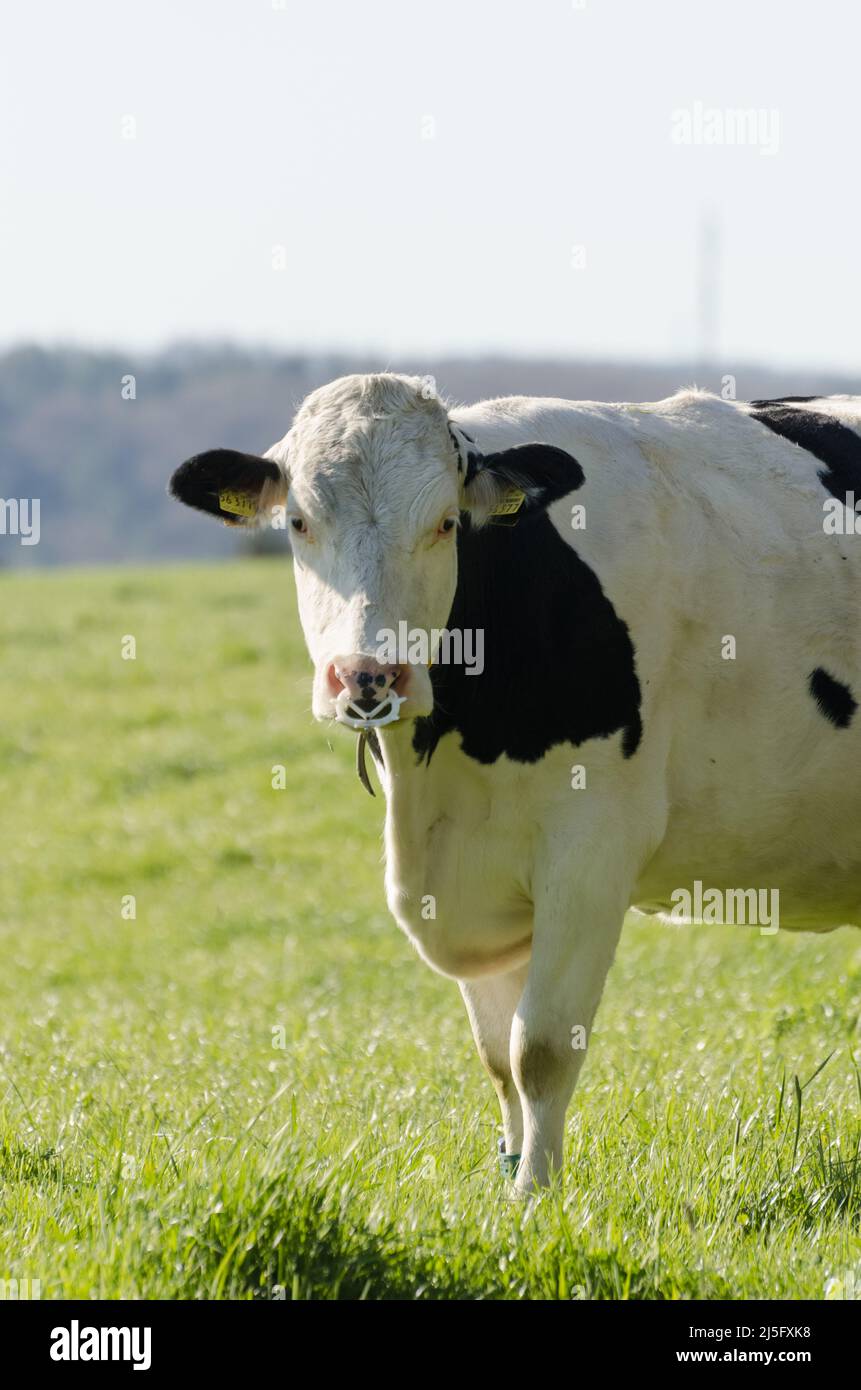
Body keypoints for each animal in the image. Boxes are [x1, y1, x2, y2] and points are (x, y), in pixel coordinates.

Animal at [169, 374, 861, 1196]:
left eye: (444, 524)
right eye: (300, 523)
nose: (369, 675)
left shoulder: (590, 850)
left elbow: (542, 1048)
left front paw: (536, 1194)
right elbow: (498, 1056)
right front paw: (508, 1182)